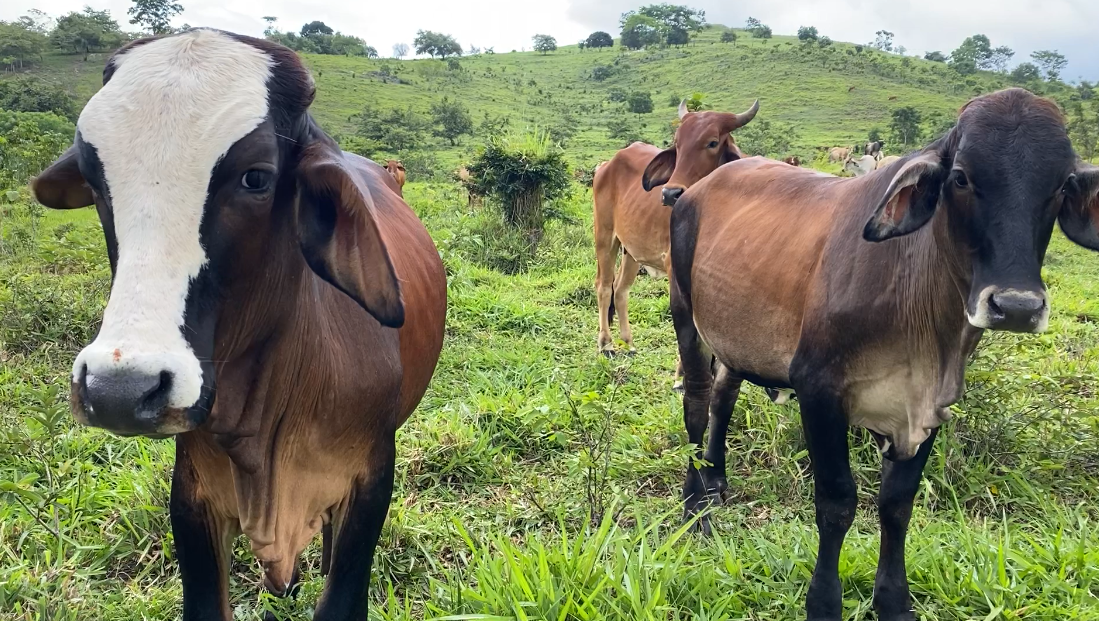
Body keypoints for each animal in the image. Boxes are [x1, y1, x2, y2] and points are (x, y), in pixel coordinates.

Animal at [592, 98, 758, 361]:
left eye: (712, 142)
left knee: (620, 289)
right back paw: (606, 343)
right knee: (604, 285)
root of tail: (607, 164)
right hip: (605, 236)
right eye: (677, 143)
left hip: (632, 251)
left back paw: (628, 342)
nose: (670, 194)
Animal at [665, 88, 1099, 621]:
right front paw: (824, 602)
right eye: (961, 177)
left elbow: (896, 505)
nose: (1017, 306)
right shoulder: (819, 391)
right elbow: (837, 503)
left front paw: (893, 600)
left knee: (724, 397)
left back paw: (716, 481)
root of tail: (697, 188)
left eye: (1062, 185)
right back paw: (694, 507)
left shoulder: (930, 404)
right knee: (696, 404)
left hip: (737, 339)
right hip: (686, 318)